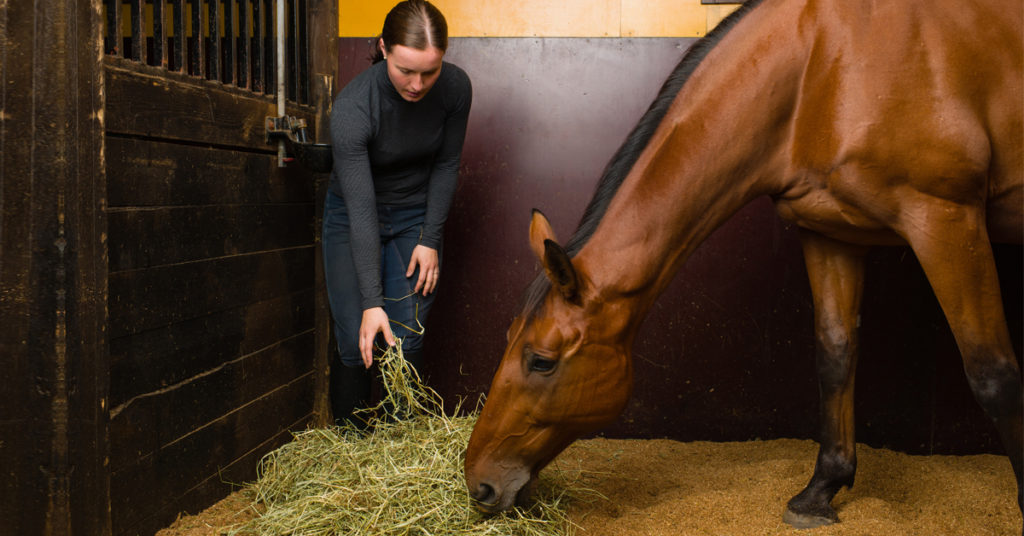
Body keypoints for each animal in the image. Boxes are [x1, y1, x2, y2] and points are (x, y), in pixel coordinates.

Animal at [464, 0, 1022, 529]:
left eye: (541, 360)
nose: (480, 484)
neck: (824, 66)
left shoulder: (946, 218)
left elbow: (993, 374)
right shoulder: (830, 233)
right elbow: (835, 355)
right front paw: (821, 490)